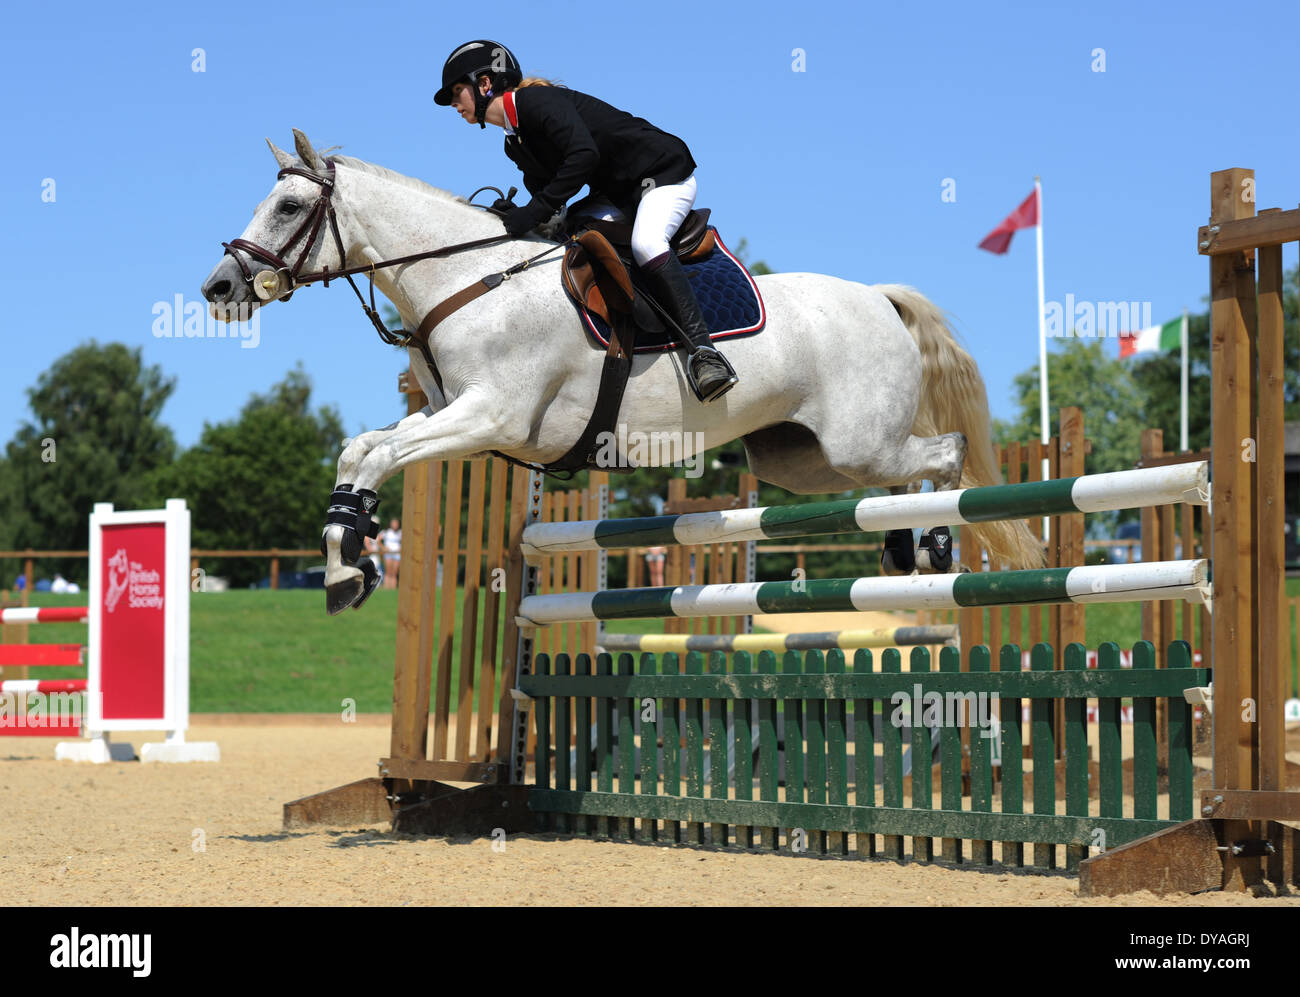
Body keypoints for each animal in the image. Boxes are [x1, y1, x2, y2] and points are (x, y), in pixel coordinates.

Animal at [201, 130, 1042, 615]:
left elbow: (377, 454)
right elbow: (360, 450)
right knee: (896, 475)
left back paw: (934, 544)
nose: (219, 288)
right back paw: (903, 545)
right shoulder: (450, 417)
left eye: (287, 207)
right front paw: (346, 561)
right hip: (805, 459)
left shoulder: (490, 415)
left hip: (860, 439)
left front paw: (349, 560)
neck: (468, 278)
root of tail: (877, 296)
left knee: (944, 455)